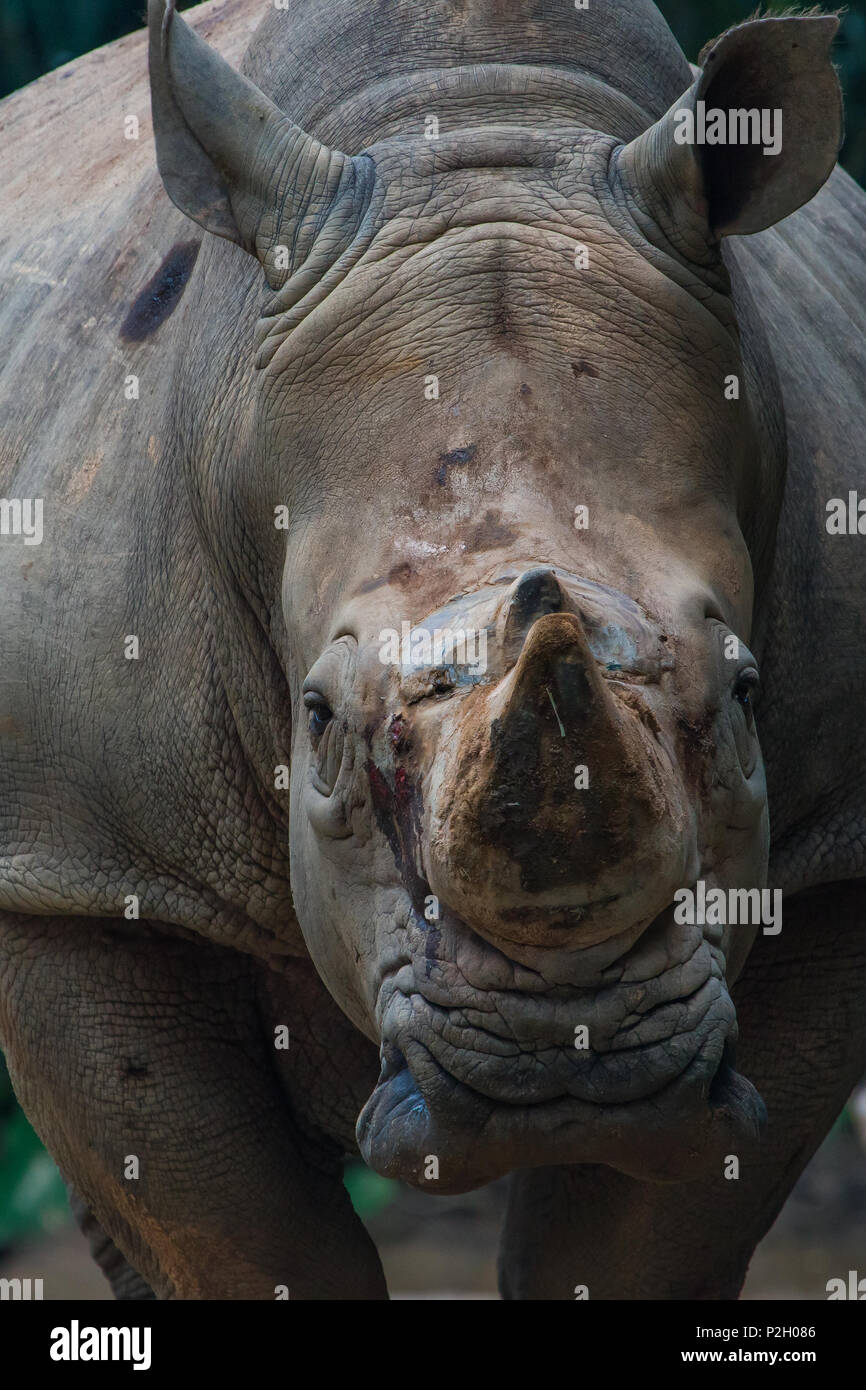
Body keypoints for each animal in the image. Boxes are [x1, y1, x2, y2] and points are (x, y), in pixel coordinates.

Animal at [0, 0, 864, 1301]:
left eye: (747, 695)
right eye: (315, 718)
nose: (563, 1056)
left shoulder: (829, 852)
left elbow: (632, 1248)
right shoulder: (83, 864)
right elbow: (246, 1245)